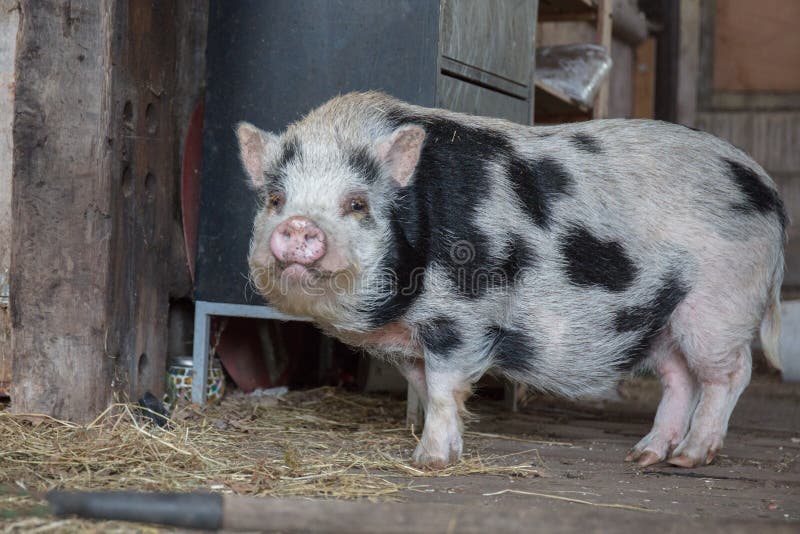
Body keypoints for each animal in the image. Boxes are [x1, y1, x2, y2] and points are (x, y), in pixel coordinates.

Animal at [236, 92, 787, 469]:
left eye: (356, 203)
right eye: (275, 200)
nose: (299, 226)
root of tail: (772, 196)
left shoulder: (460, 315)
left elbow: (443, 388)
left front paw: (430, 461)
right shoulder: (410, 343)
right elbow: (429, 387)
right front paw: (446, 447)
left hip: (720, 304)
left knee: (730, 373)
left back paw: (690, 457)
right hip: (661, 319)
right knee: (679, 378)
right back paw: (646, 456)